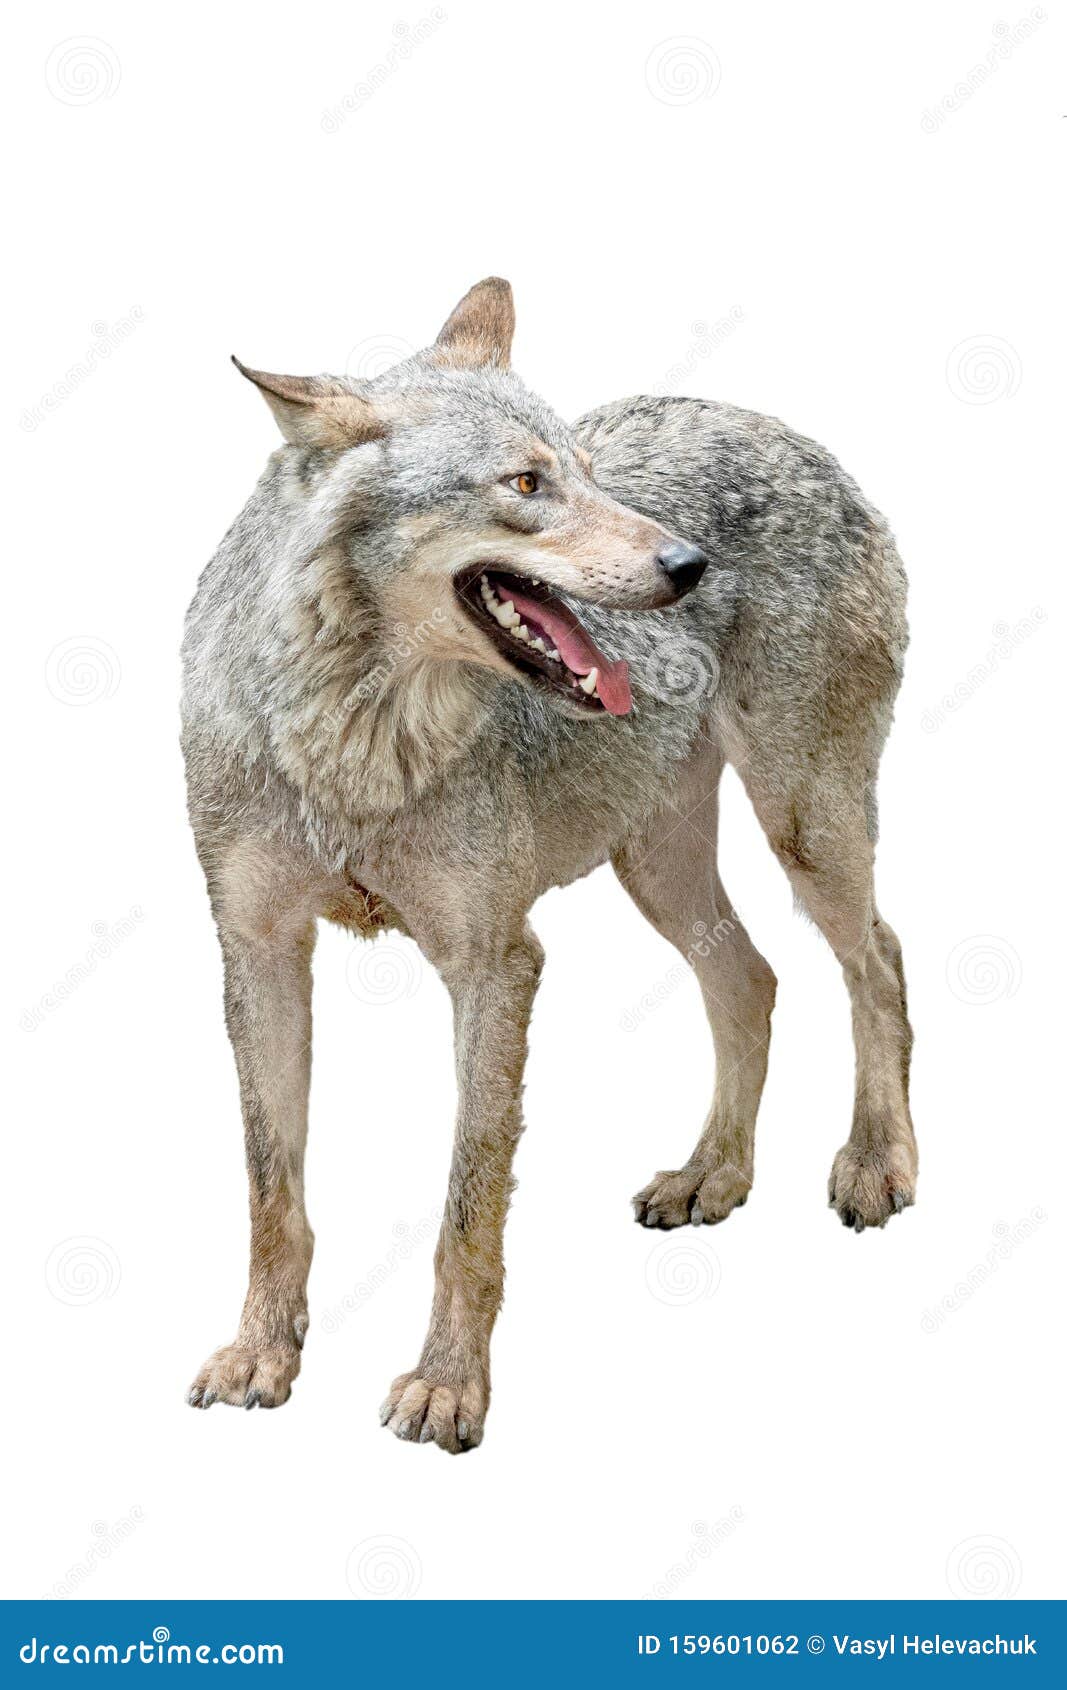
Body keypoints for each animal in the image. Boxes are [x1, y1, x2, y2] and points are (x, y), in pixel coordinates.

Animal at [181, 278, 916, 1450]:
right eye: (525, 486)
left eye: (583, 469)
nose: (688, 565)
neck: (351, 742)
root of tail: (782, 426)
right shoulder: (255, 954)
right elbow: (271, 1193)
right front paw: (261, 1355)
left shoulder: (495, 964)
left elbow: (466, 1207)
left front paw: (446, 1388)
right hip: (656, 865)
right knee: (751, 979)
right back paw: (711, 1175)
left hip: (804, 824)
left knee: (877, 959)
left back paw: (876, 1164)